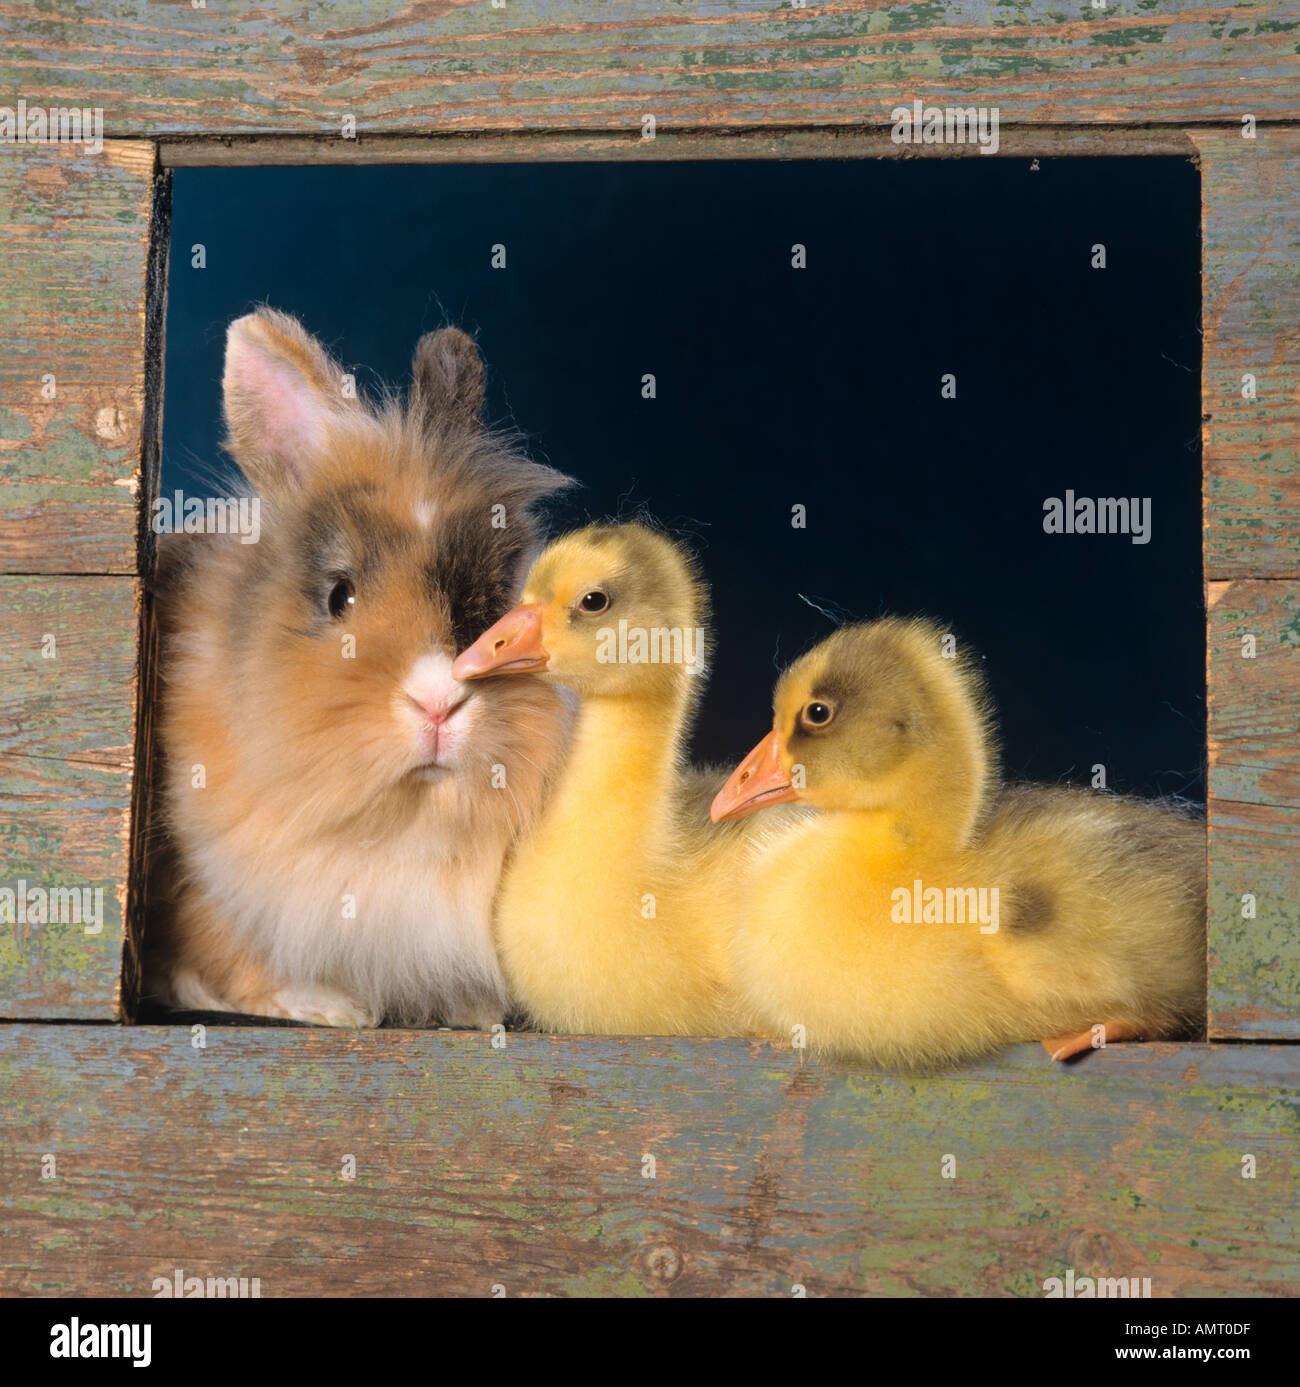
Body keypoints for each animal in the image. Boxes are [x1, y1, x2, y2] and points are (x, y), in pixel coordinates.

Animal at [142, 308, 573, 1028]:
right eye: (338, 596)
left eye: (490, 603)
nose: (437, 701)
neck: (400, 826)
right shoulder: (212, 877)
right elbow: (235, 956)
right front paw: (330, 1007)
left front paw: (476, 1010)